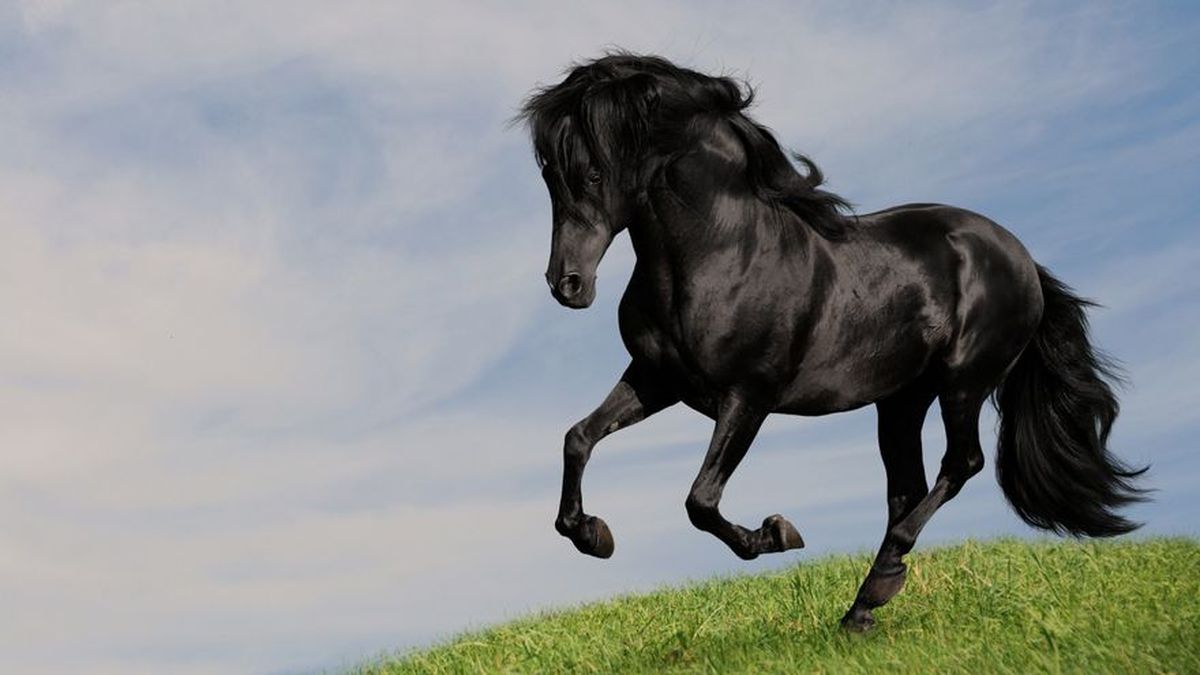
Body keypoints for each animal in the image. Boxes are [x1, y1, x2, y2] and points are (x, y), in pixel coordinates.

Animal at [517, 52, 1146, 630]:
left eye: (593, 174)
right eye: (549, 176)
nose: (567, 285)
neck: (721, 254)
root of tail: (1020, 258)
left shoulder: (748, 397)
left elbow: (701, 500)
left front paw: (777, 533)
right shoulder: (657, 379)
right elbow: (578, 438)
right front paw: (593, 535)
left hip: (962, 382)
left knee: (960, 463)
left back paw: (882, 579)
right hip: (901, 400)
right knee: (907, 488)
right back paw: (861, 610)